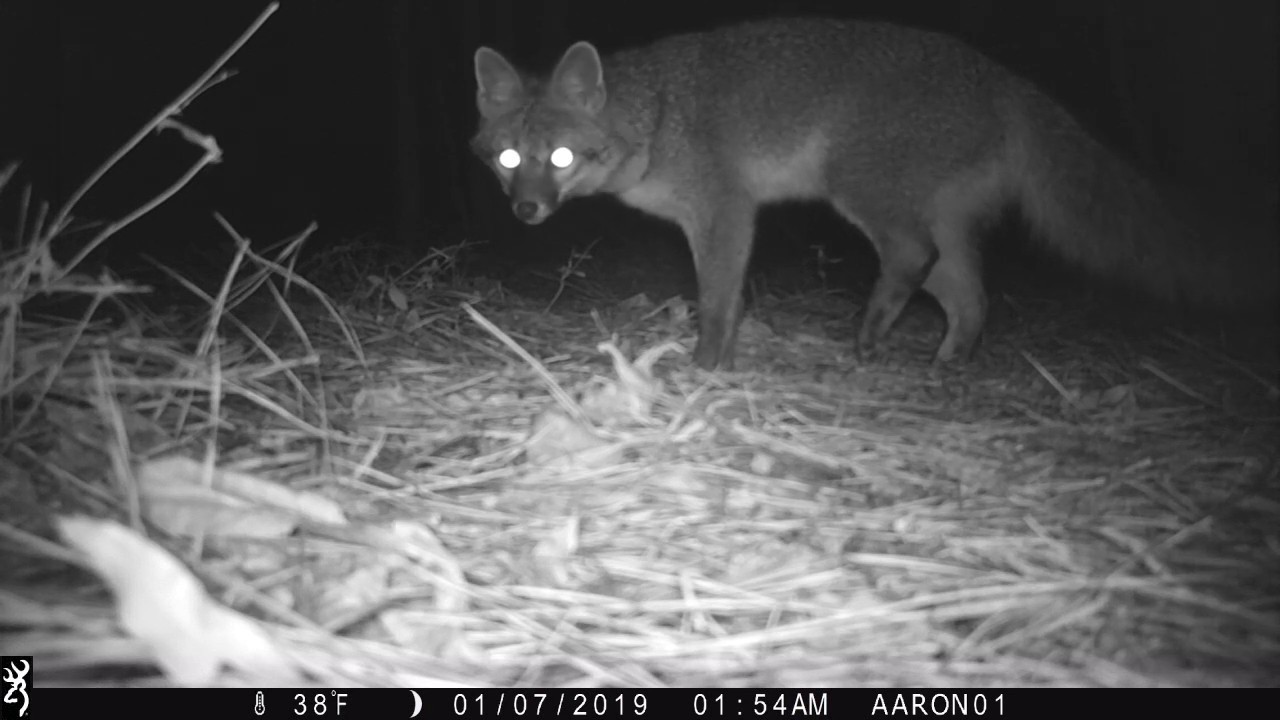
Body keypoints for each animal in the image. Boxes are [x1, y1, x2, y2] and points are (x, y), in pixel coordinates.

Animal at [470, 17, 1277, 371]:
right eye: (509, 158)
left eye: (562, 157)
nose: (526, 210)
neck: (658, 113)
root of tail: (1002, 78)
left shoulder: (727, 212)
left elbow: (718, 300)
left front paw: (707, 365)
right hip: (935, 226)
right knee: (969, 296)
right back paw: (944, 364)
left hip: (860, 193)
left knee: (914, 261)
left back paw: (871, 338)